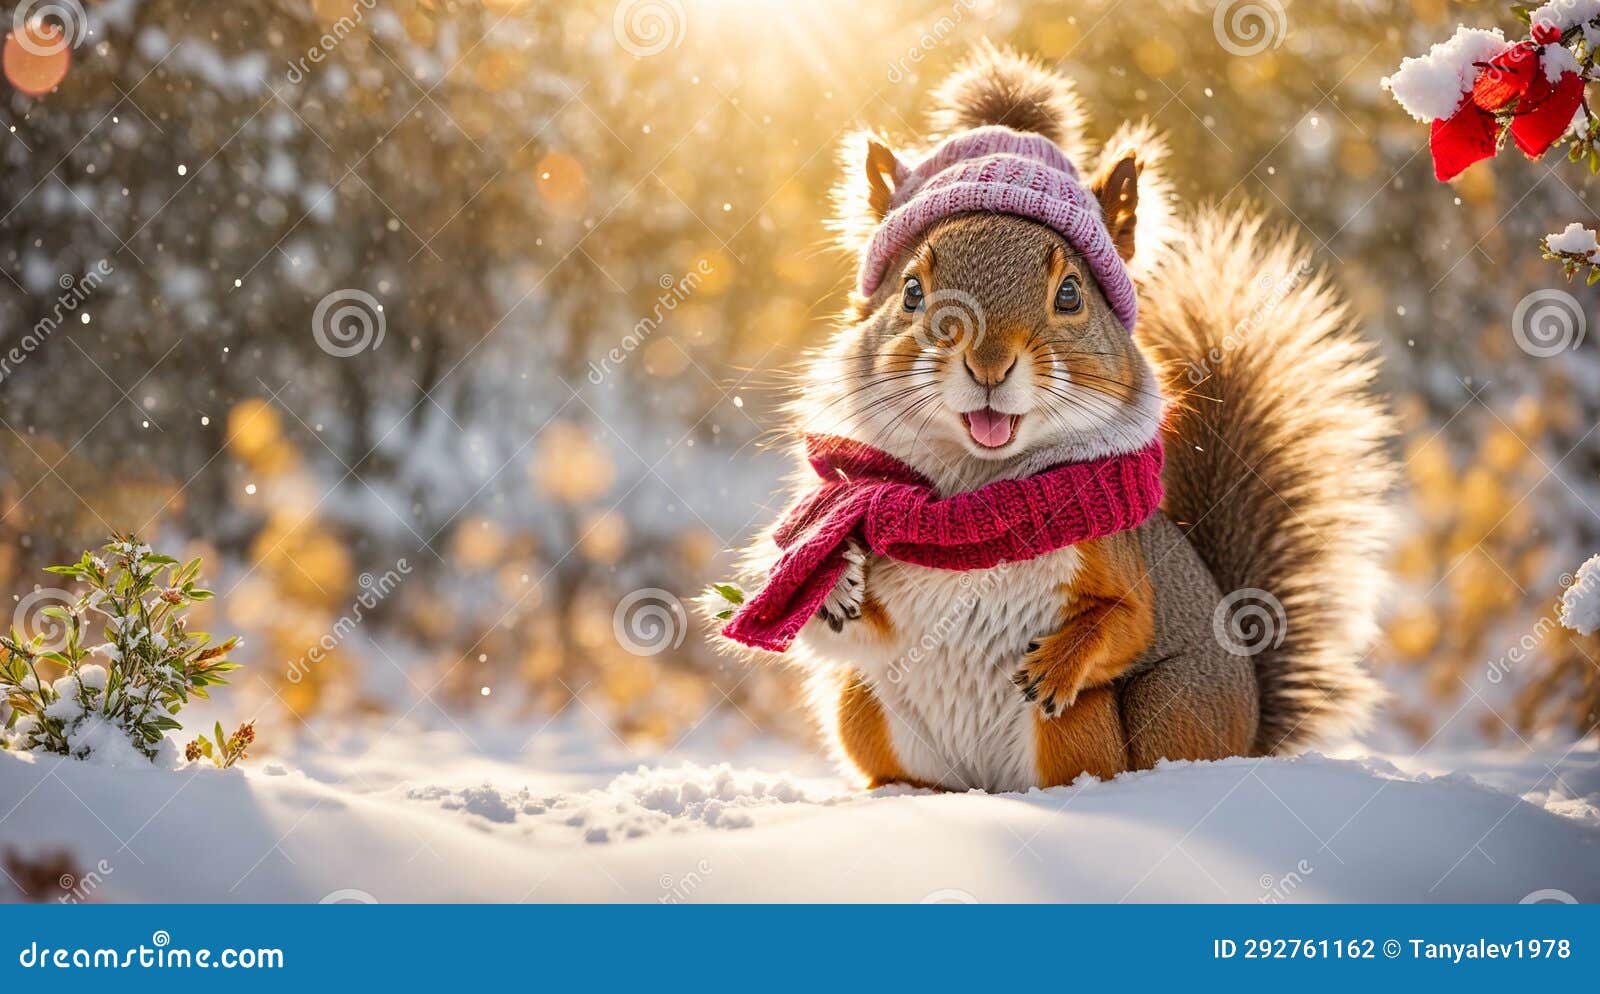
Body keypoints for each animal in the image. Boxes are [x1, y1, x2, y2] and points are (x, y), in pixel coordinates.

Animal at [714, 44, 1396, 793]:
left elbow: (1127, 623)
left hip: (1102, 721)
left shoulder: (1115, 558)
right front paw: (833, 579)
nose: (987, 364)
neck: (971, 493)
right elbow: (833, 615)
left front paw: (1056, 663)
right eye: (911, 292)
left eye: (1071, 294)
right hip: (863, 707)